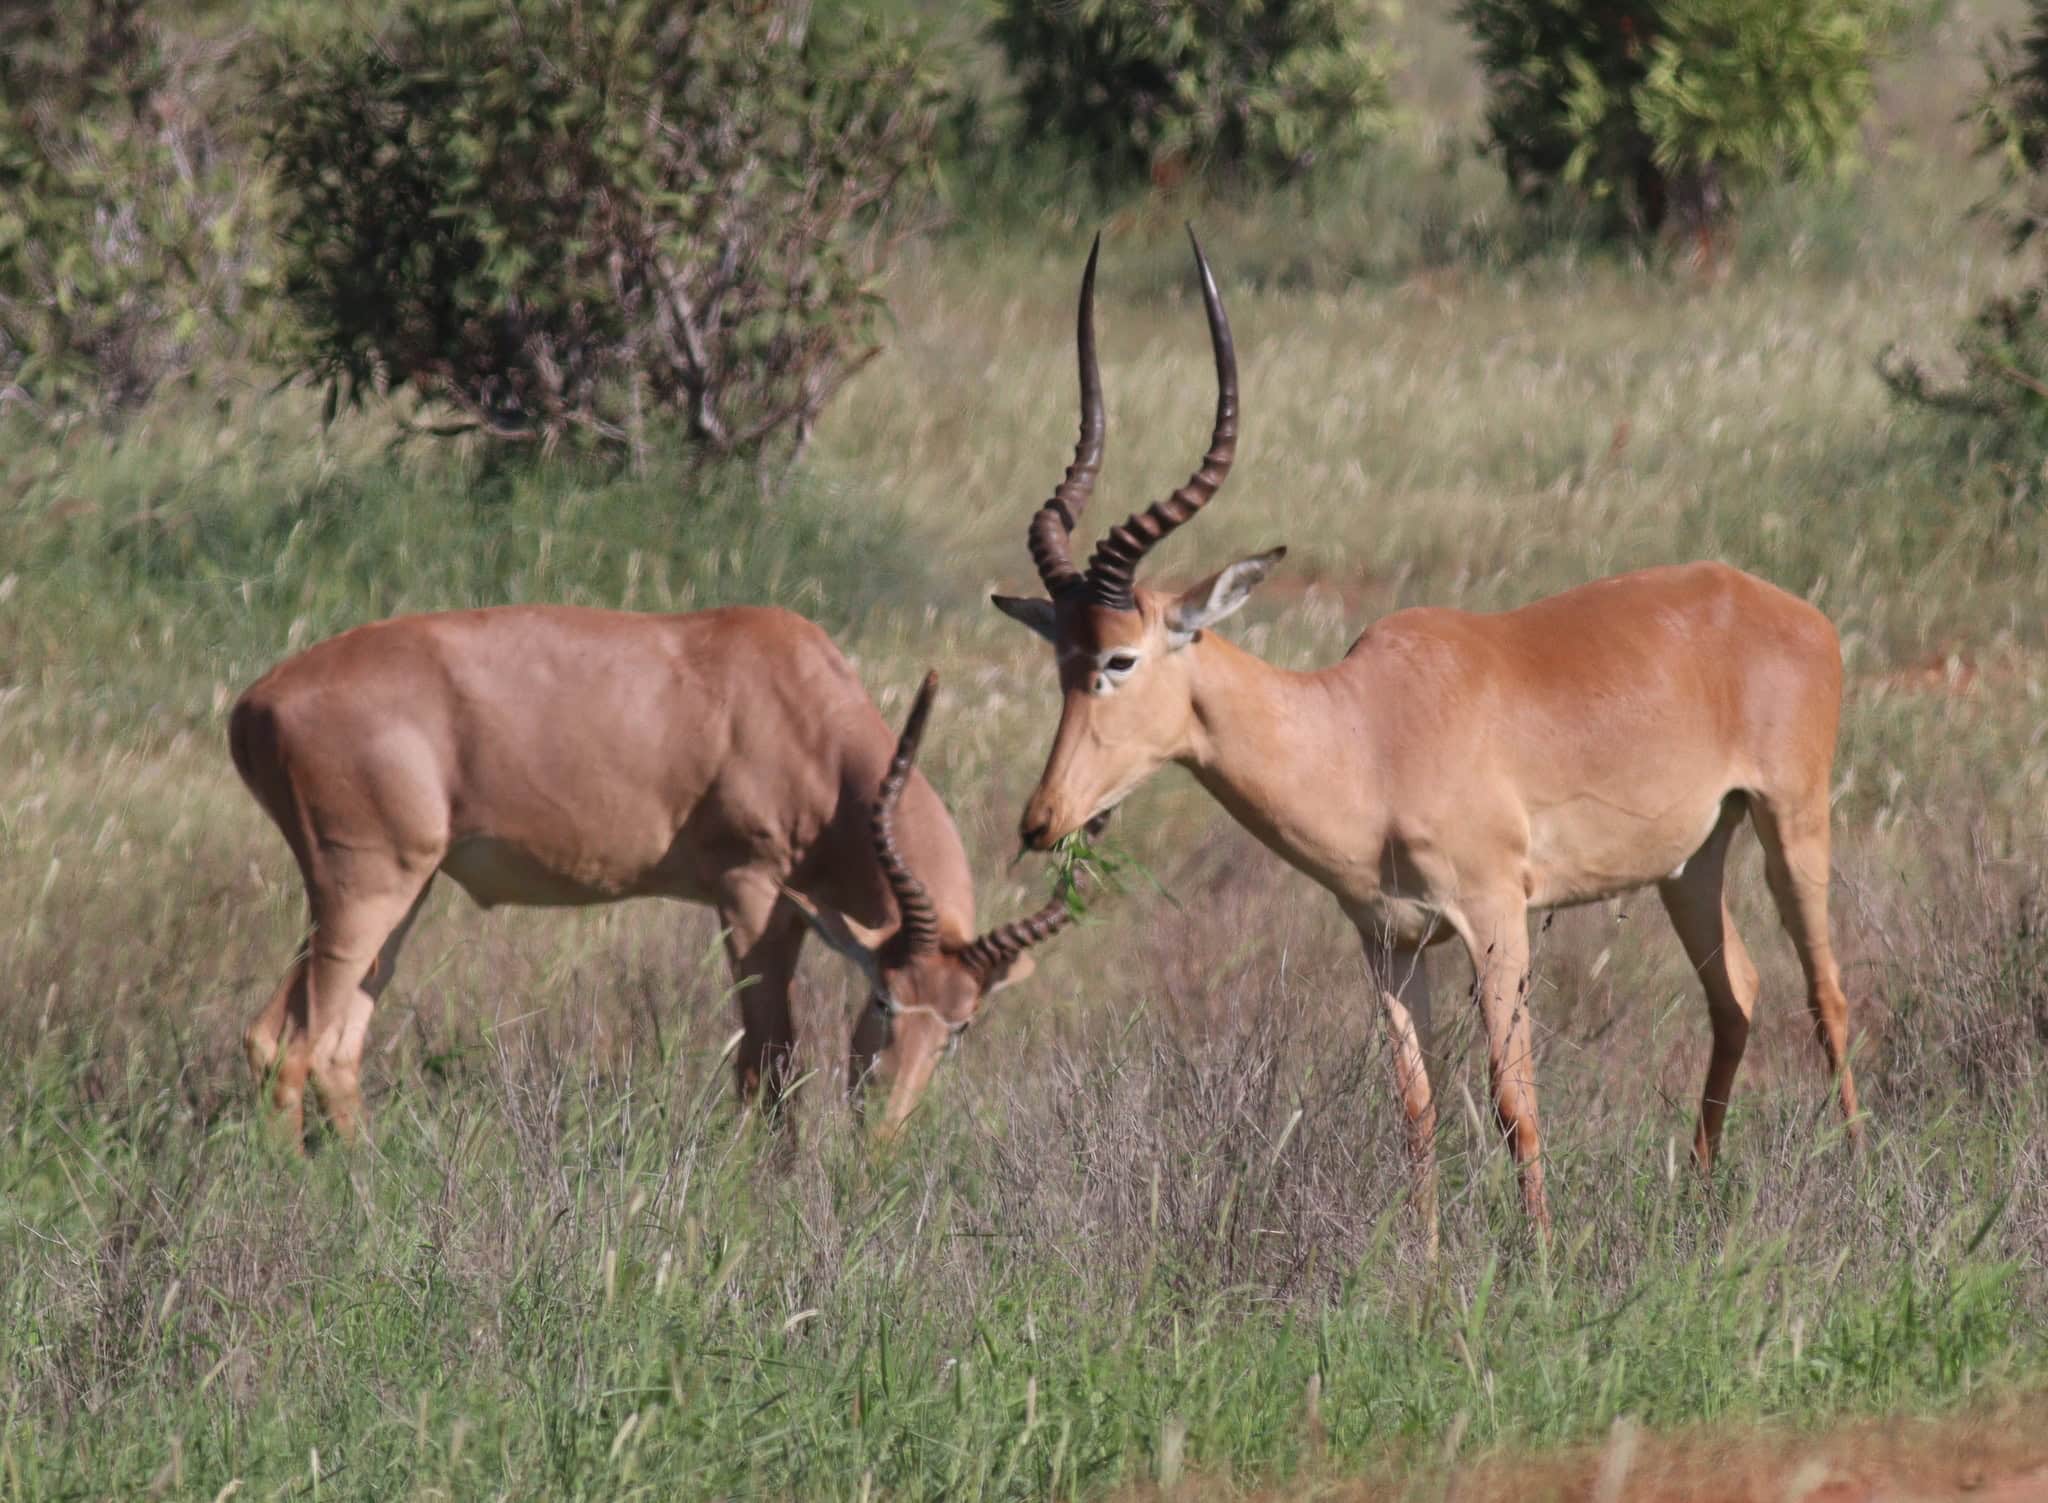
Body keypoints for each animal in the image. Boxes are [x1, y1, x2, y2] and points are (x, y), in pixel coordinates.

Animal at [229, 608, 1069, 1148]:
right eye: (885, 1000)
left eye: (961, 1027)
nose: (881, 1140)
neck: (795, 693)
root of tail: (254, 702)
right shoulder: (749, 893)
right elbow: (768, 1054)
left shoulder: (796, 912)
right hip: (364, 889)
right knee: (289, 1043)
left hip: (401, 892)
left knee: (324, 1044)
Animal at [993, 232, 1862, 1237]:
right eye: (1058, 655)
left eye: (1120, 658)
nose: (1042, 819)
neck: (1365, 730)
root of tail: (1787, 606)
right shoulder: (1390, 943)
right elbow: (1416, 1109)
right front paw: (1426, 1262)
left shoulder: (1497, 919)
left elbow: (1513, 1098)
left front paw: (1541, 1256)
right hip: (1691, 858)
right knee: (1738, 992)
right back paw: (1704, 1190)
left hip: (1790, 821)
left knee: (1826, 993)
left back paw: (1864, 1171)